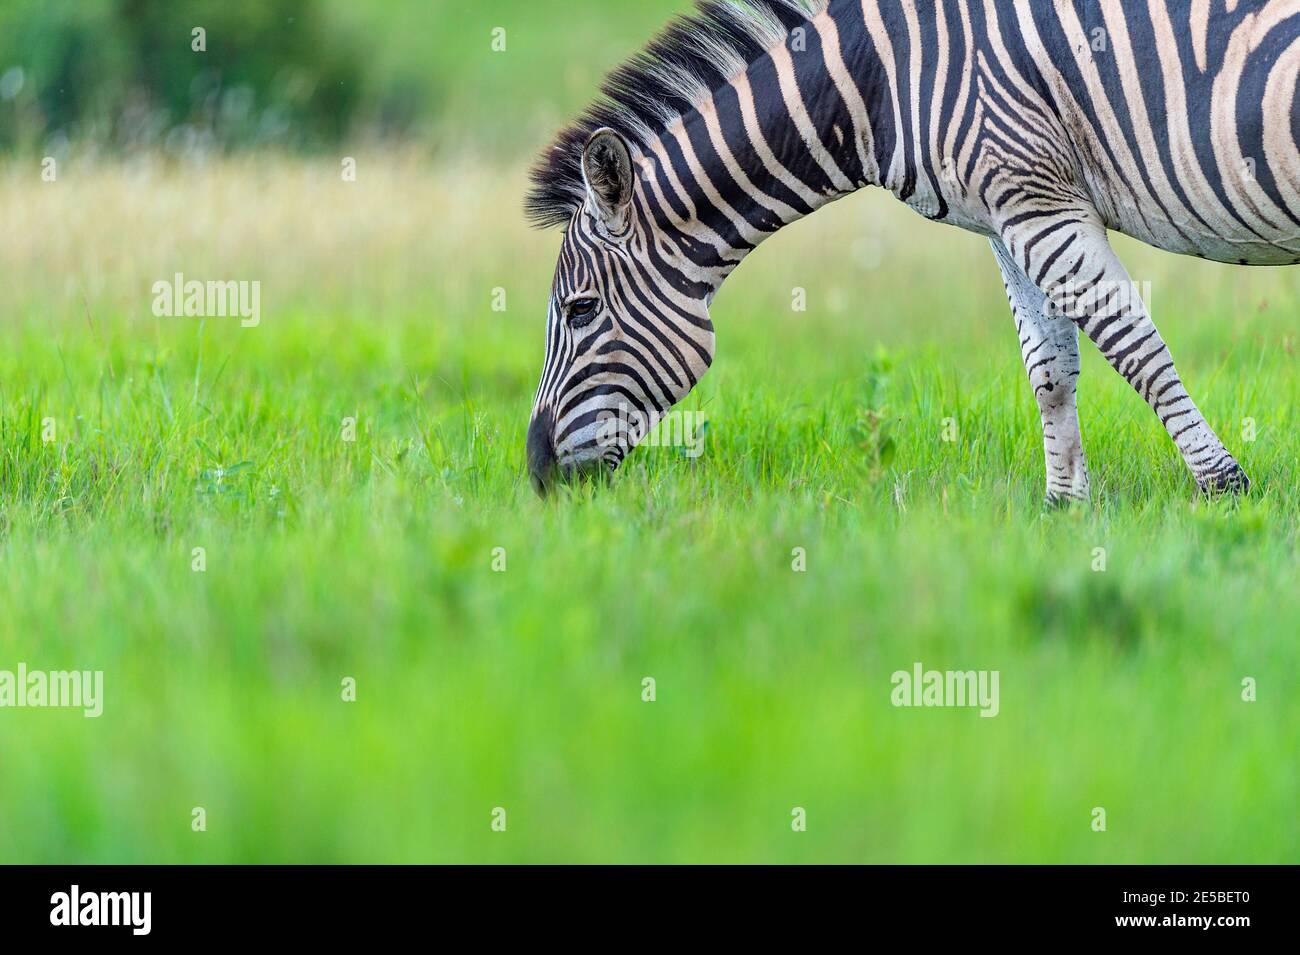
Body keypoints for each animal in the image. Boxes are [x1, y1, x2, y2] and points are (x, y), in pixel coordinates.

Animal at [524, 0, 1299, 500]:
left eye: (581, 310)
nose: (535, 474)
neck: (879, 83)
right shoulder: (1009, 218)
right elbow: (1050, 370)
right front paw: (1065, 507)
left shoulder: (1037, 196)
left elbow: (1134, 344)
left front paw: (1225, 486)